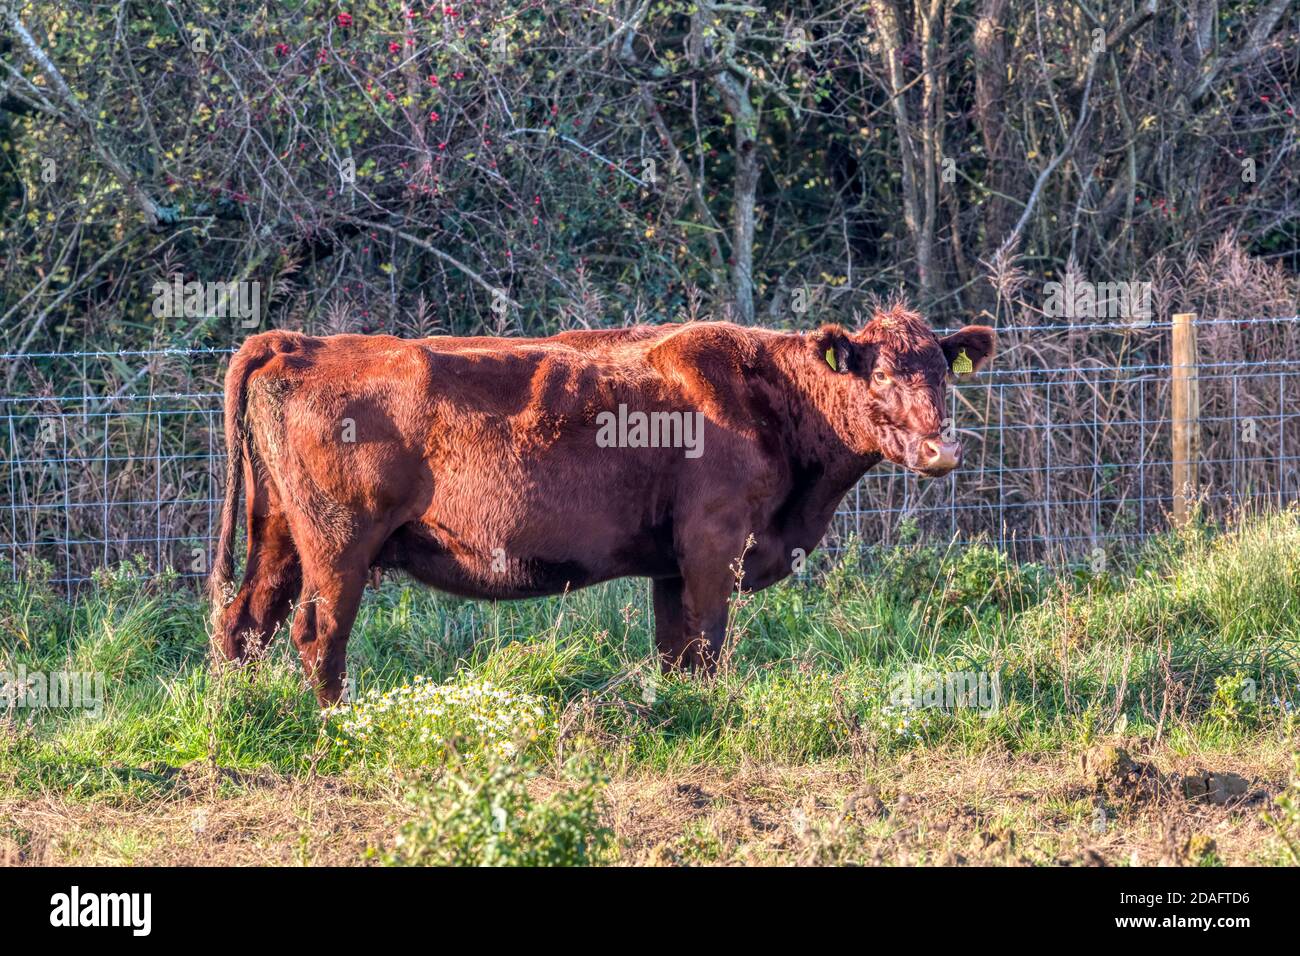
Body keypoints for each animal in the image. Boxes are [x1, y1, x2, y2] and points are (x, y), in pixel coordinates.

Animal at [209, 305, 995, 704]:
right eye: (882, 376)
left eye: (942, 373)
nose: (940, 450)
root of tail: (300, 342)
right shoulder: (715, 545)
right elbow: (708, 644)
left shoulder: (673, 564)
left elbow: (677, 650)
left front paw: (681, 711)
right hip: (339, 543)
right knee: (317, 631)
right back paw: (338, 721)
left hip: (277, 533)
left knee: (245, 620)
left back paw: (236, 710)